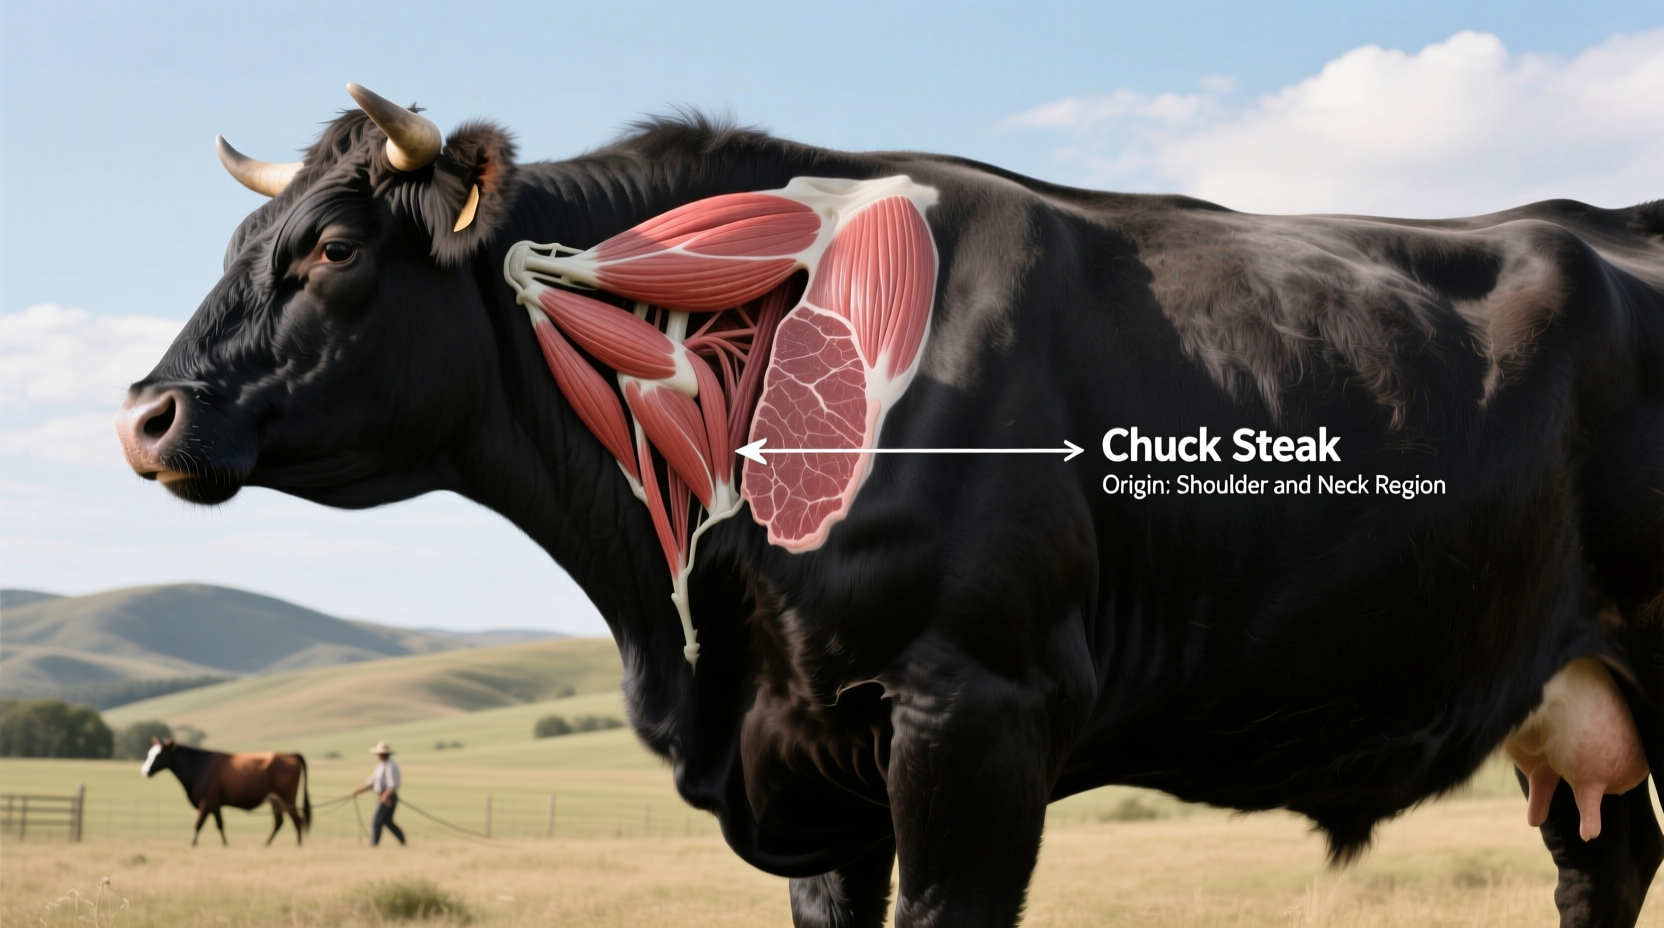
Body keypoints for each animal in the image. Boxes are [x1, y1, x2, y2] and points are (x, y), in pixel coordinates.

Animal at [141, 738, 311, 846]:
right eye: (149, 754)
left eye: (158, 755)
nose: (145, 771)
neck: (198, 766)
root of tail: (291, 754)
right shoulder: (215, 804)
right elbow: (220, 825)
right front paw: (225, 844)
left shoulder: (206, 802)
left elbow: (198, 824)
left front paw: (193, 843)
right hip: (274, 799)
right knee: (279, 821)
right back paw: (267, 844)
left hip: (287, 797)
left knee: (297, 819)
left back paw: (298, 845)